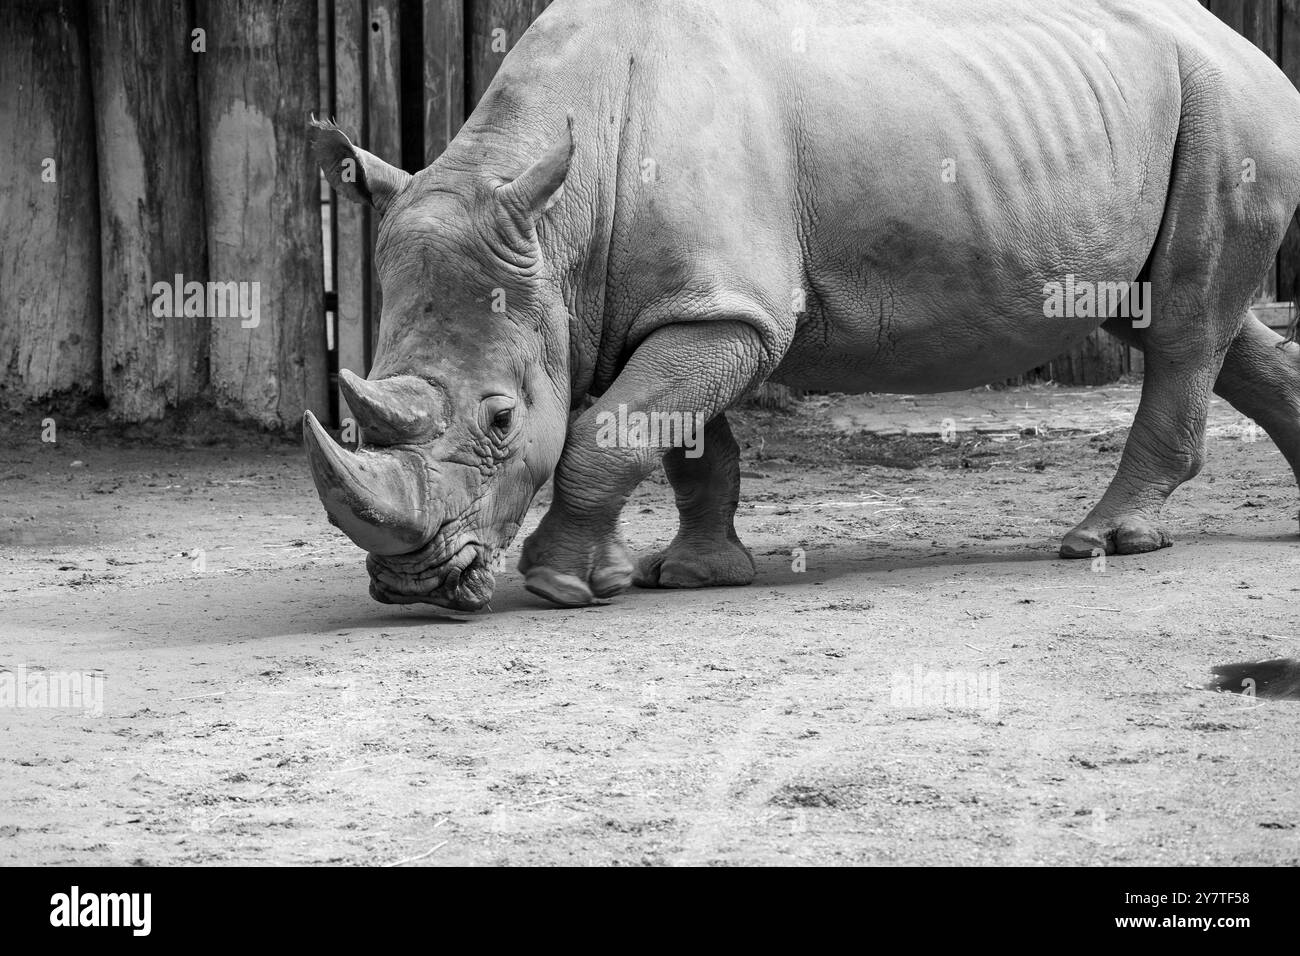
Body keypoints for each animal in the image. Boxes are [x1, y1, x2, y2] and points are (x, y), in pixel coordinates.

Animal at [304, 0, 1300, 611]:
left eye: (502, 420)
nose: (411, 583)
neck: (556, 218)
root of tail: (1250, 46)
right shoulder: (651, 305)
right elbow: (679, 440)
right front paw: (684, 575)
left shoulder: (724, 310)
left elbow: (611, 434)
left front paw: (561, 587)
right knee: (1177, 319)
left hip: (1228, 110)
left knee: (1182, 325)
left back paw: (1100, 543)